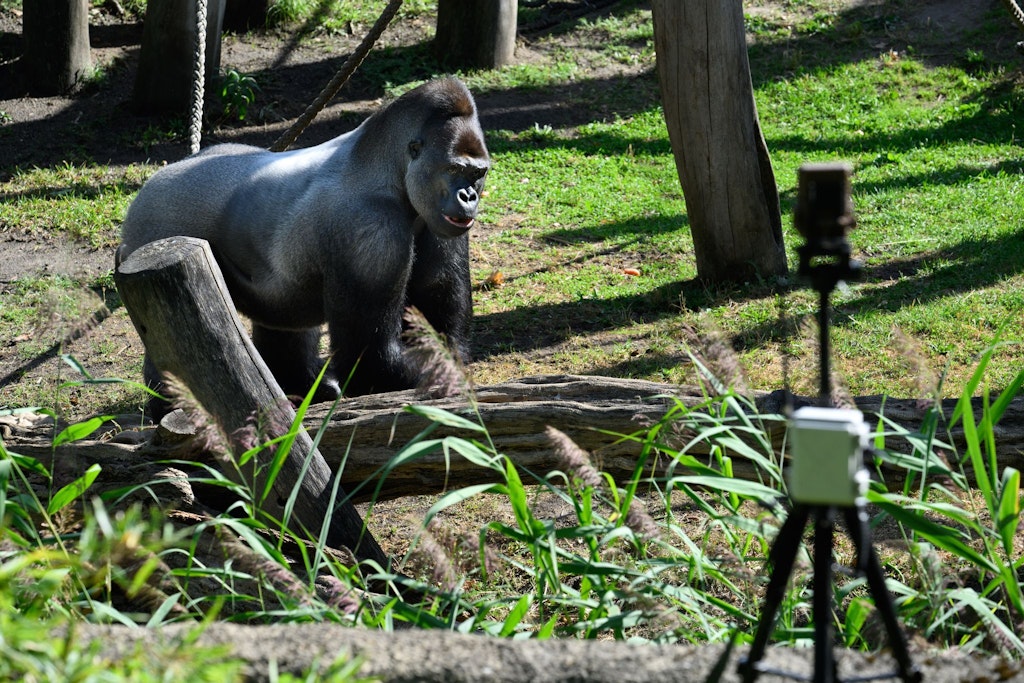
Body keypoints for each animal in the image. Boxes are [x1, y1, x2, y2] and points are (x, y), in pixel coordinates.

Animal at [118, 77, 489, 415]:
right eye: (453, 168)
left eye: (478, 173)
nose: (469, 196)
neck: (388, 167)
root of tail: (152, 183)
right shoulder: (370, 232)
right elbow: (373, 361)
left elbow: (438, 315)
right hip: (156, 231)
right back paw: (169, 402)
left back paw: (297, 384)